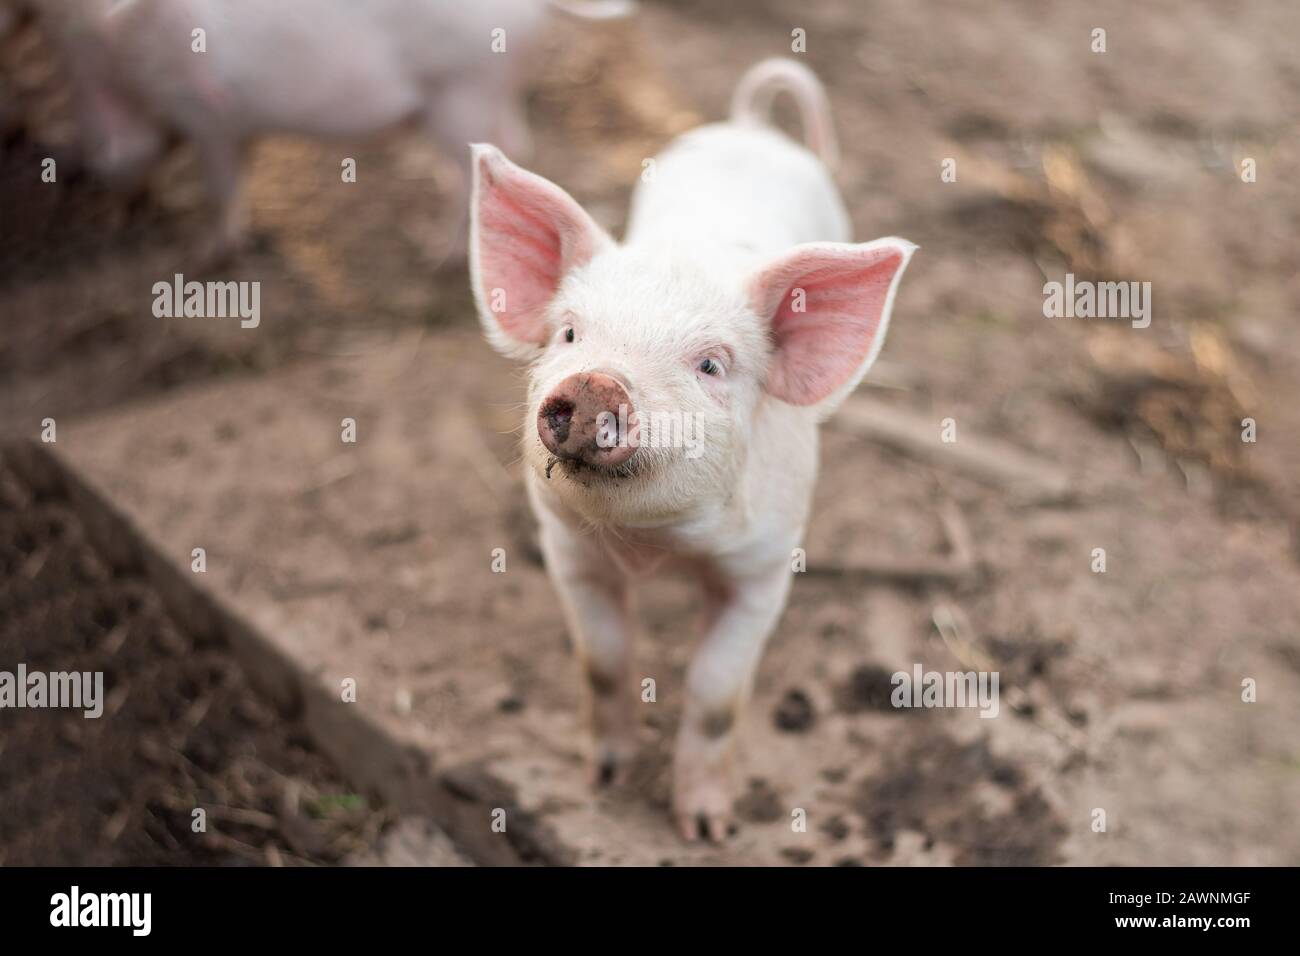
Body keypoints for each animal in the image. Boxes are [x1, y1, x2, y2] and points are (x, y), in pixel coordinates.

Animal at [26, 0, 634, 263]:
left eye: (93, 128)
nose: (79, 170)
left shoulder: (210, 120)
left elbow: (221, 189)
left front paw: (207, 254)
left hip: (464, 93)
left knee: (477, 175)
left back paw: (432, 251)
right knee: (513, 149)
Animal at [470, 57, 916, 840]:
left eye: (711, 364)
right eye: (569, 333)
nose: (595, 382)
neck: (656, 550)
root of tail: (750, 126)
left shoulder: (764, 570)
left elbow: (715, 694)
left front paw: (707, 829)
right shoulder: (567, 546)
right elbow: (602, 661)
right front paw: (602, 779)